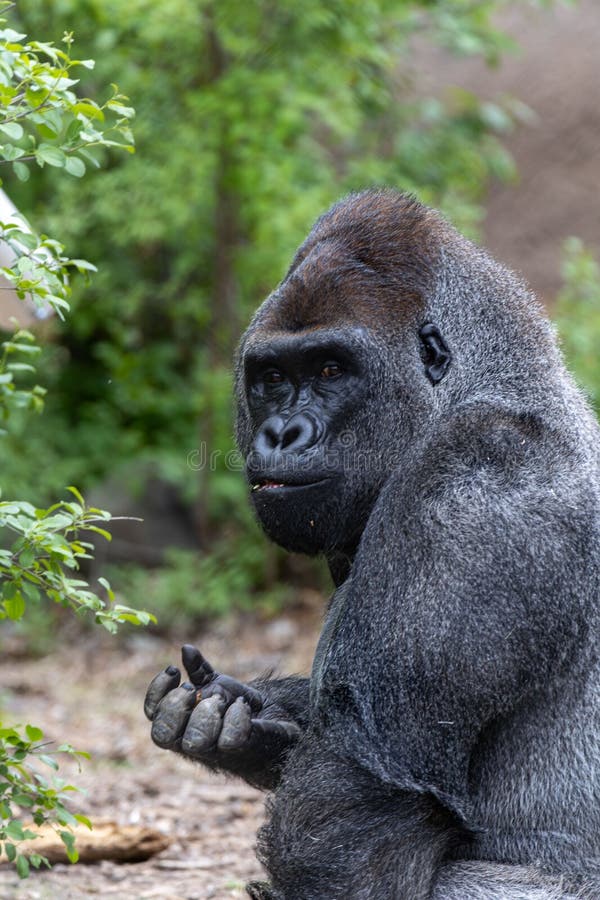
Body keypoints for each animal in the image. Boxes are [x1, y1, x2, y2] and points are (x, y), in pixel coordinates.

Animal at [144, 190, 600, 899]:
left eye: (332, 369)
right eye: (271, 377)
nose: (283, 433)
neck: (486, 384)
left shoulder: (472, 488)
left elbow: (361, 806)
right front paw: (237, 718)